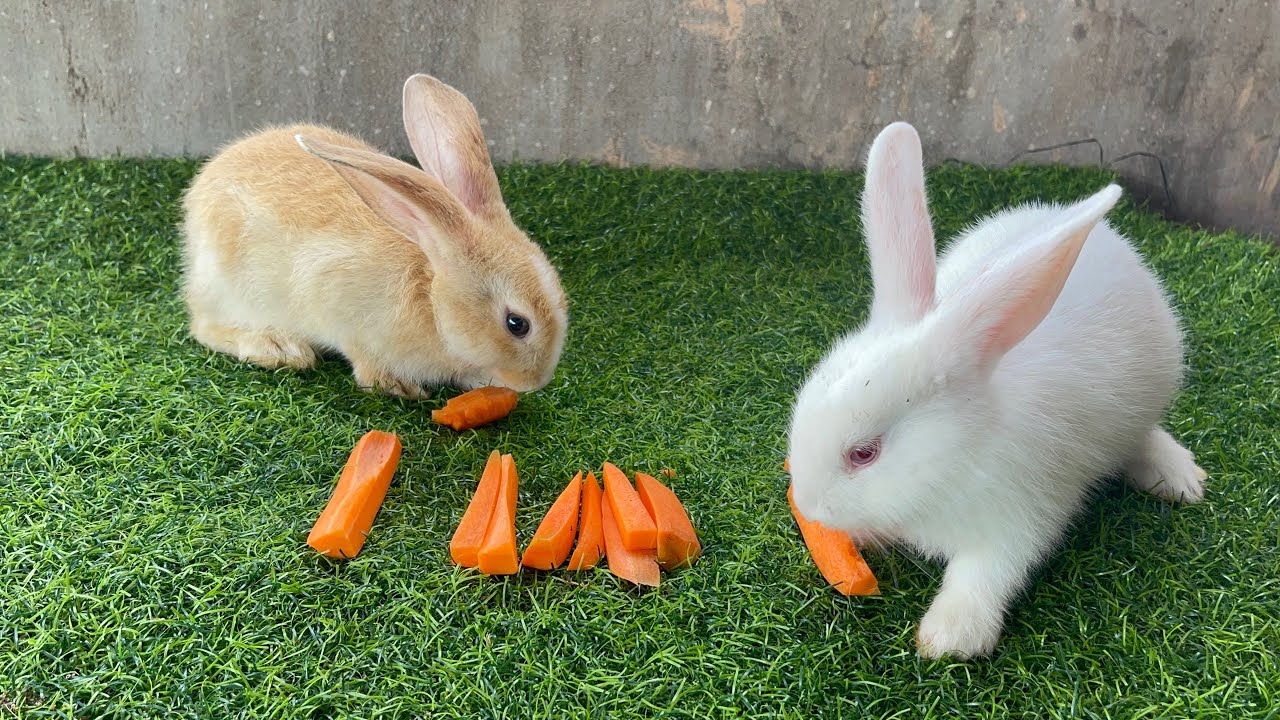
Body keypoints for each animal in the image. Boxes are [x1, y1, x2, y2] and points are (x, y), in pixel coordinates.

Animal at [180, 73, 568, 398]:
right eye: (517, 324)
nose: (536, 382)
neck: (432, 299)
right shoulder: (333, 298)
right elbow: (362, 357)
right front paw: (397, 385)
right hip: (227, 285)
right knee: (204, 327)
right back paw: (277, 348)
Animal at [787, 122, 1207, 659]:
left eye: (864, 453)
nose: (809, 506)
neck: (955, 455)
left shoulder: (1019, 518)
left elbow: (986, 573)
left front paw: (948, 638)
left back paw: (1180, 479)